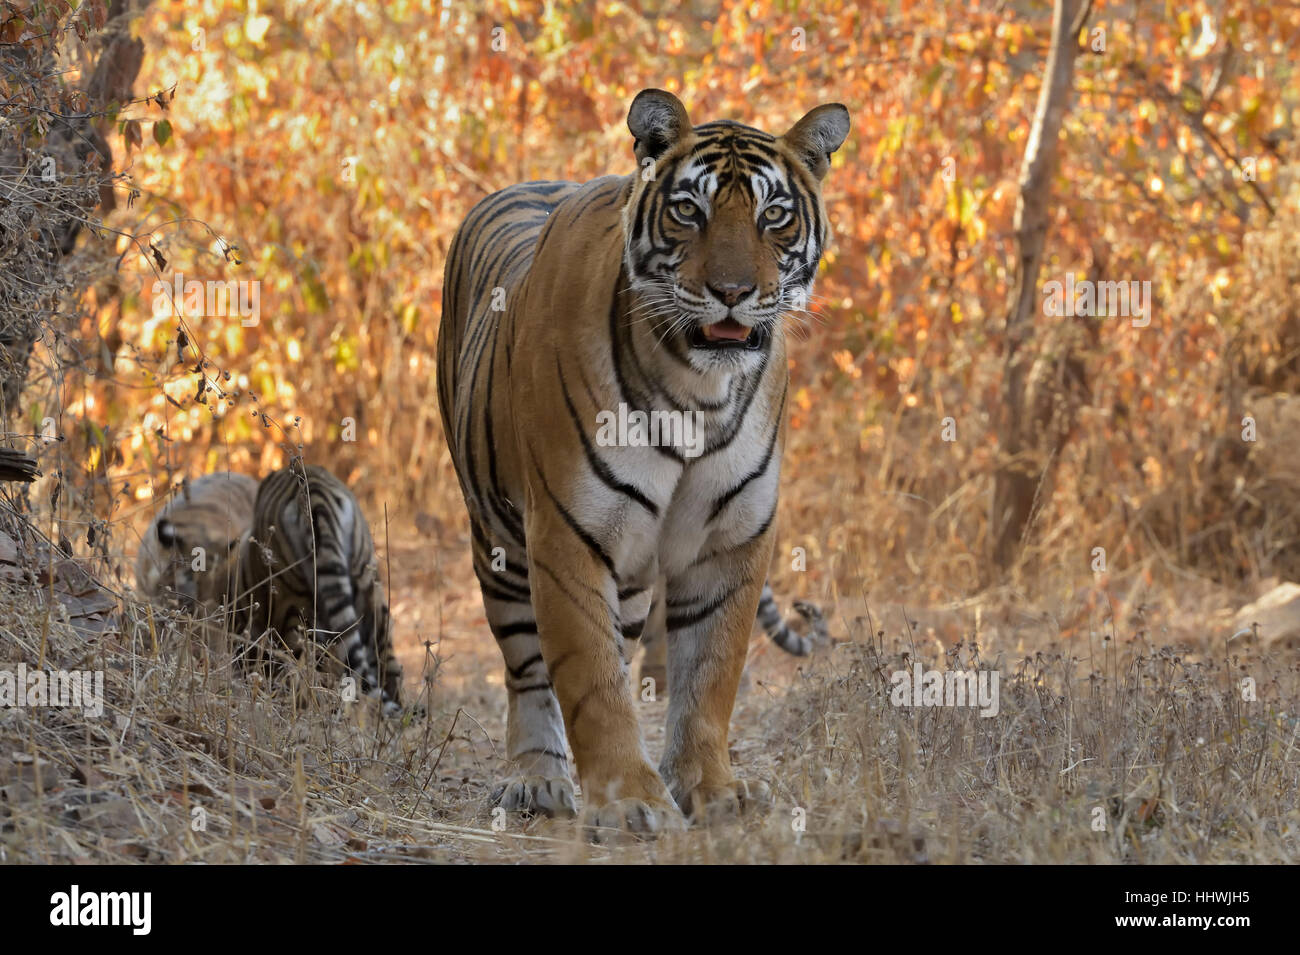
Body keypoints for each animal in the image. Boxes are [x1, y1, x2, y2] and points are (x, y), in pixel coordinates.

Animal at [437, 88, 848, 833]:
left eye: (774, 215)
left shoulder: (731, 540)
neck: (697, 390)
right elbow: (591, 677)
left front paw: (711, 789)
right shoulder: (568, 533)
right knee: (527, 666)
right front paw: (630, 799)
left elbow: (710, 677)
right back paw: (538, 779)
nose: (733, 292)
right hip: (498, 542)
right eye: (690, 209)